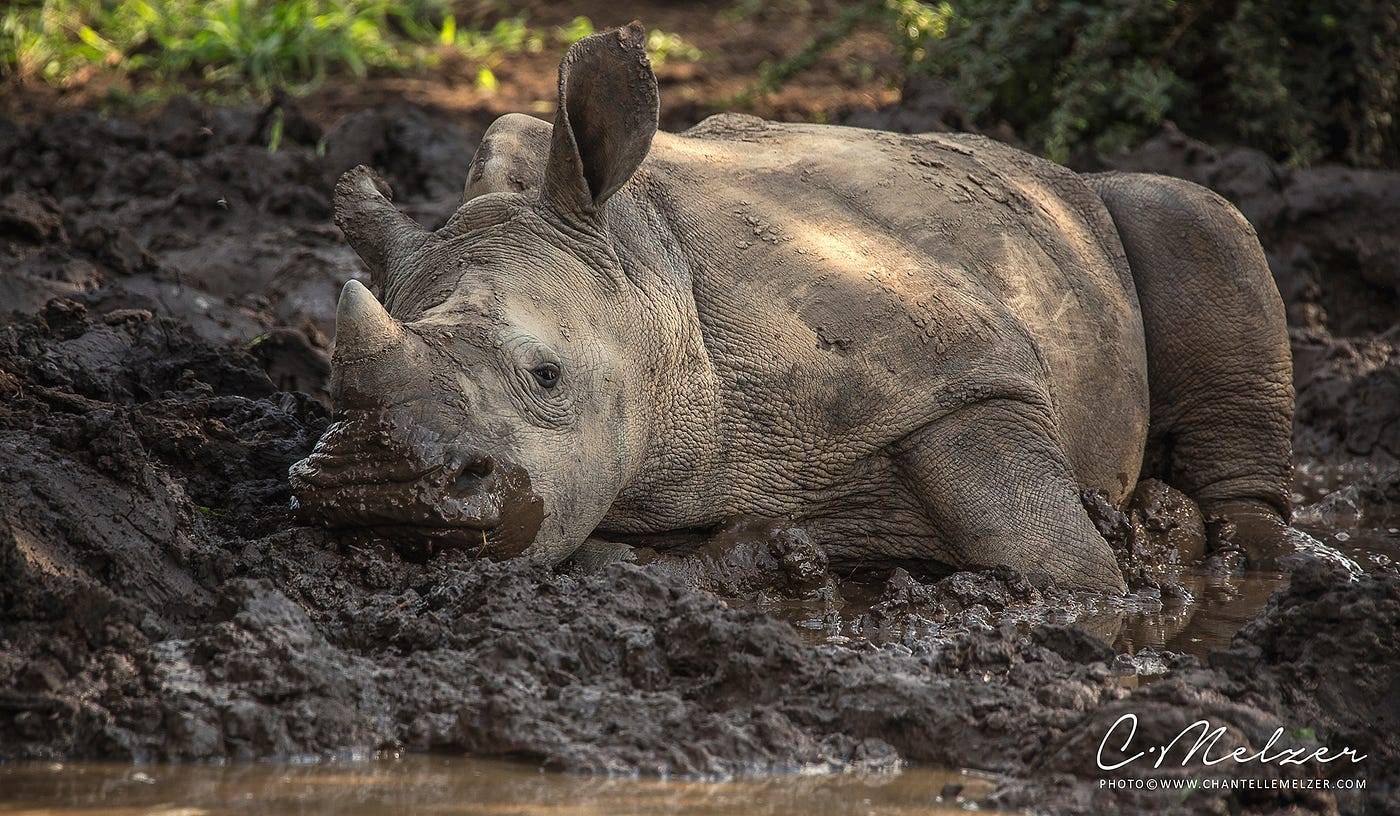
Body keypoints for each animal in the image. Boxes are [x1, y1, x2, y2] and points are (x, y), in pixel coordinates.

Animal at [289, 24, 1295, 592]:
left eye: (545, 375)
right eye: (332, 388)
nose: (378, 487)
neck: (650, 279)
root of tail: (1040, 166)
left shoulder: (964, 370)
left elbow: (1049, 556)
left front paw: (1113, 563)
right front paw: (769, 551)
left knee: (1196, 218)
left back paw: (1230, 553)